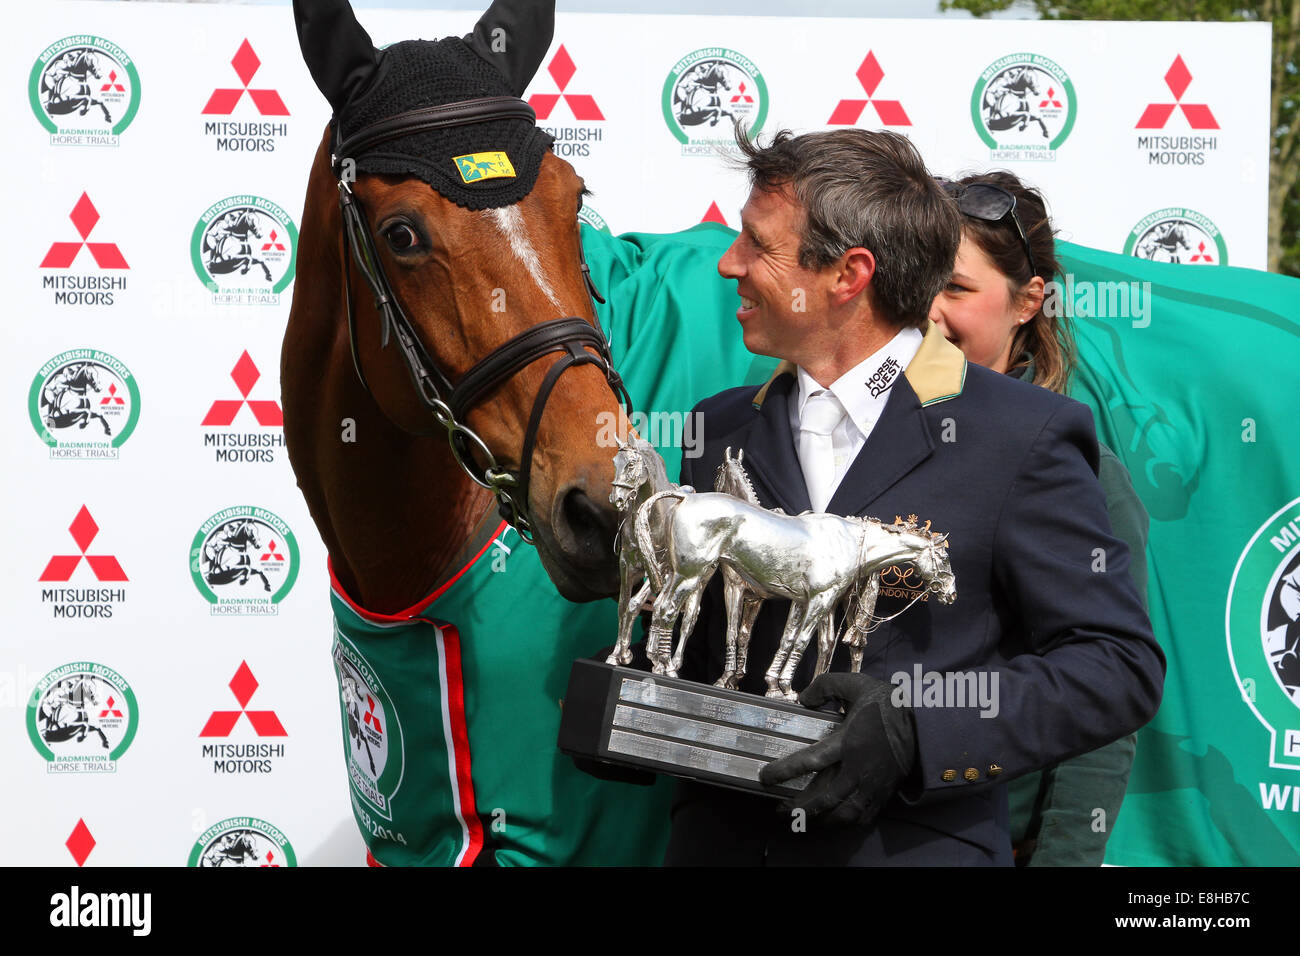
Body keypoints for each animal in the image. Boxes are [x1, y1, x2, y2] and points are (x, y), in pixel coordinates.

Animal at [635, 491, 956, 700]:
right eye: (944, 557)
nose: (951, 593)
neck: (848, 541)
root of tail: (685, 497)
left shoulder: (802, 601)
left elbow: (788, 640)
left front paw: (776, 687)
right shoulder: (820, 600)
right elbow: (801, 642)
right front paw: (788, 689)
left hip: (679, 574)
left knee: (662, 608)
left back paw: (658, 662)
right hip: (691, 574)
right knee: (667, 610)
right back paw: (666, 667)